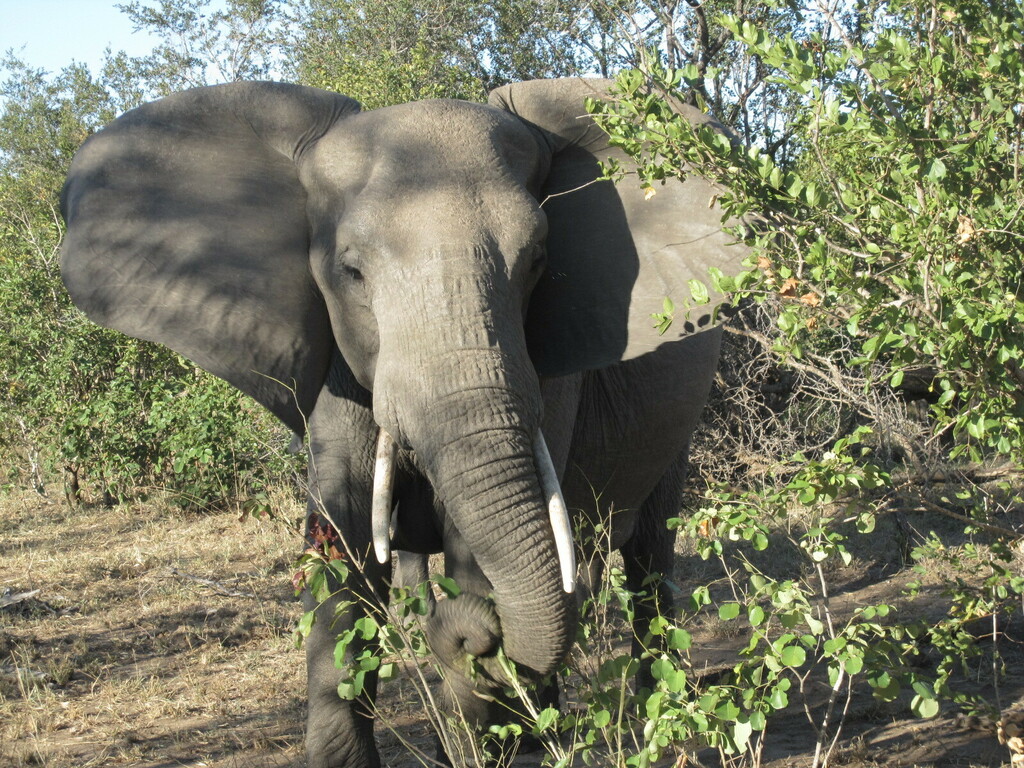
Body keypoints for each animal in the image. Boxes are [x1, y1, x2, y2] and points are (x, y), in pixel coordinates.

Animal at [59, 77, 749, 767]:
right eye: (351, 271)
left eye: (537, 260)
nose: (479, 638)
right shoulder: (339, 360)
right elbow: (340, 539)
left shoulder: (550, 373)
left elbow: (476, 548)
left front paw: (485, 733)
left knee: (647, 551)